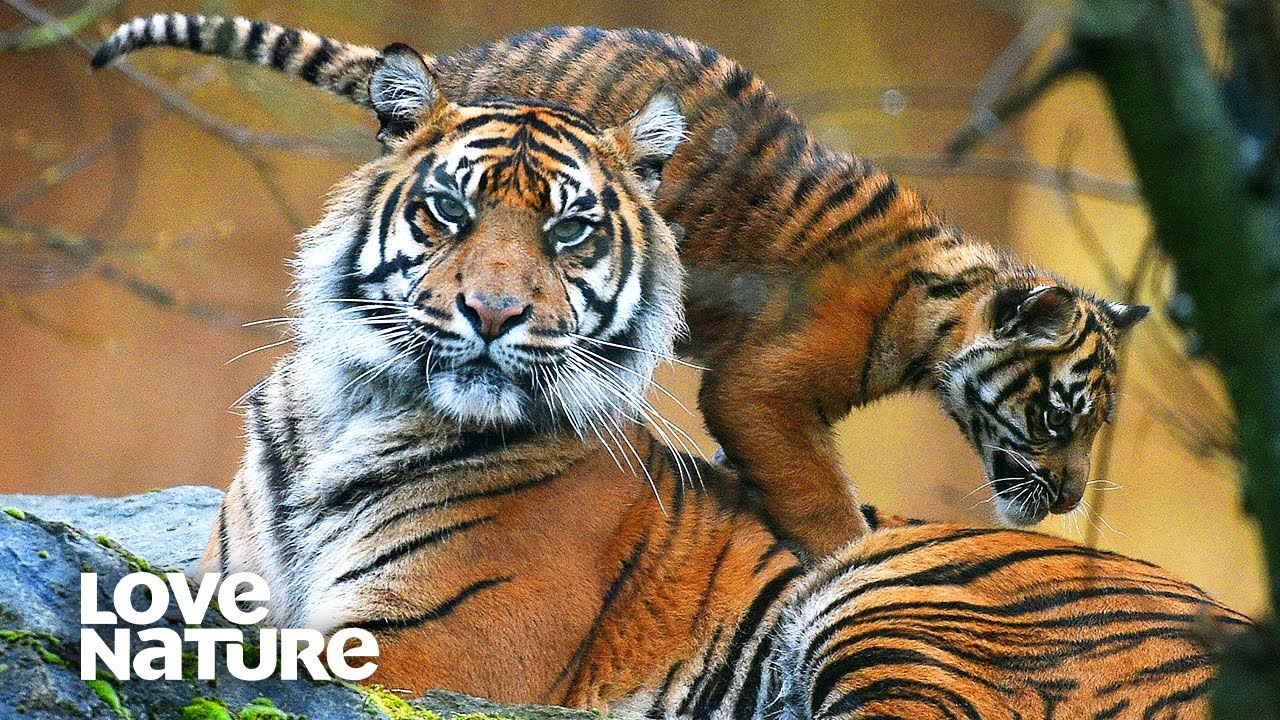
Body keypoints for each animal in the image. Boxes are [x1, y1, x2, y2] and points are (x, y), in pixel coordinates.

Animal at [92, 15, 1151, 559]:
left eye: (1096, 426)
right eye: (1061, 417)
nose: (1066, 496)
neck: (935, 309)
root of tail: (453, 70)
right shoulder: (761, 388)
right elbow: (820, 499)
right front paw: (847, 556)